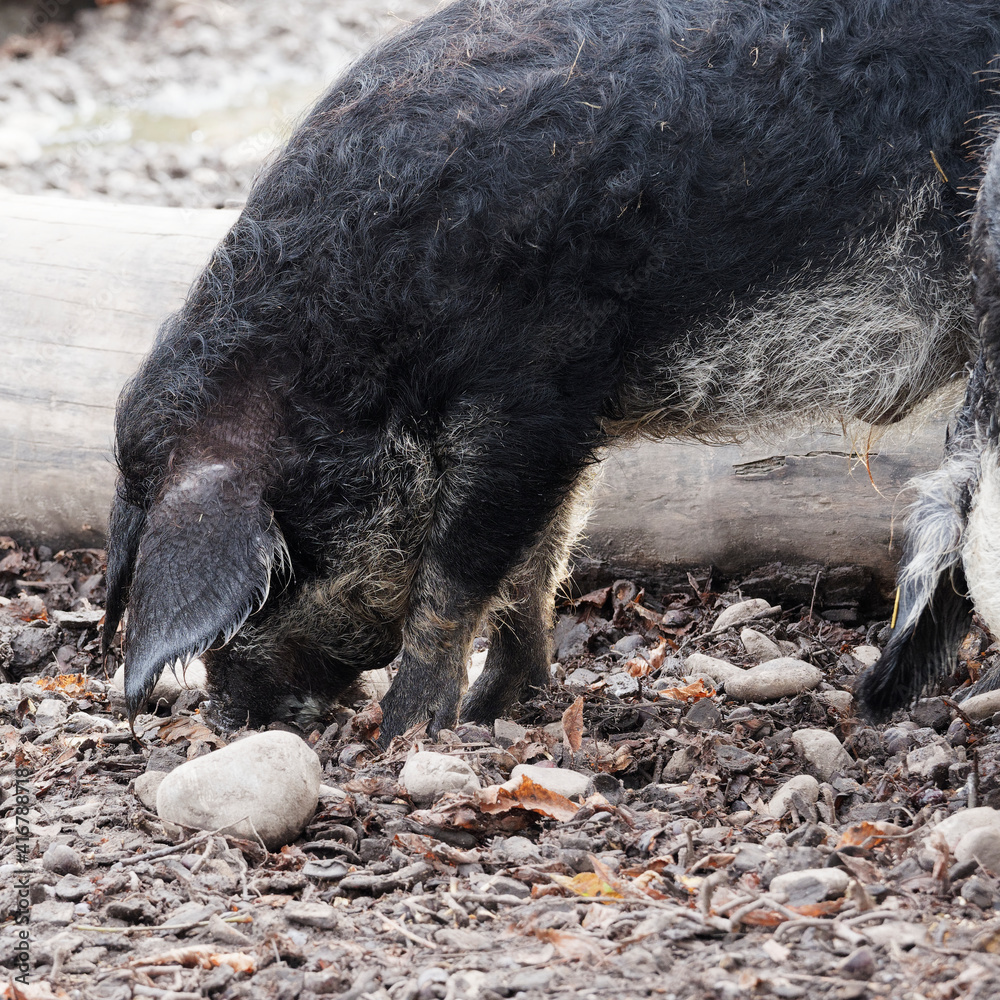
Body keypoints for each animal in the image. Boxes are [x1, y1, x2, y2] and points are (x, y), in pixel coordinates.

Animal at [104, 0, 1000, 744]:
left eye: (278, 575)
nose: (226, 716)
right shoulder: (571, 414)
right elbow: (543, 555)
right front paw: (496, 709)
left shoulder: (531, 397)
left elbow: (457, 575)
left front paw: (405, 737)